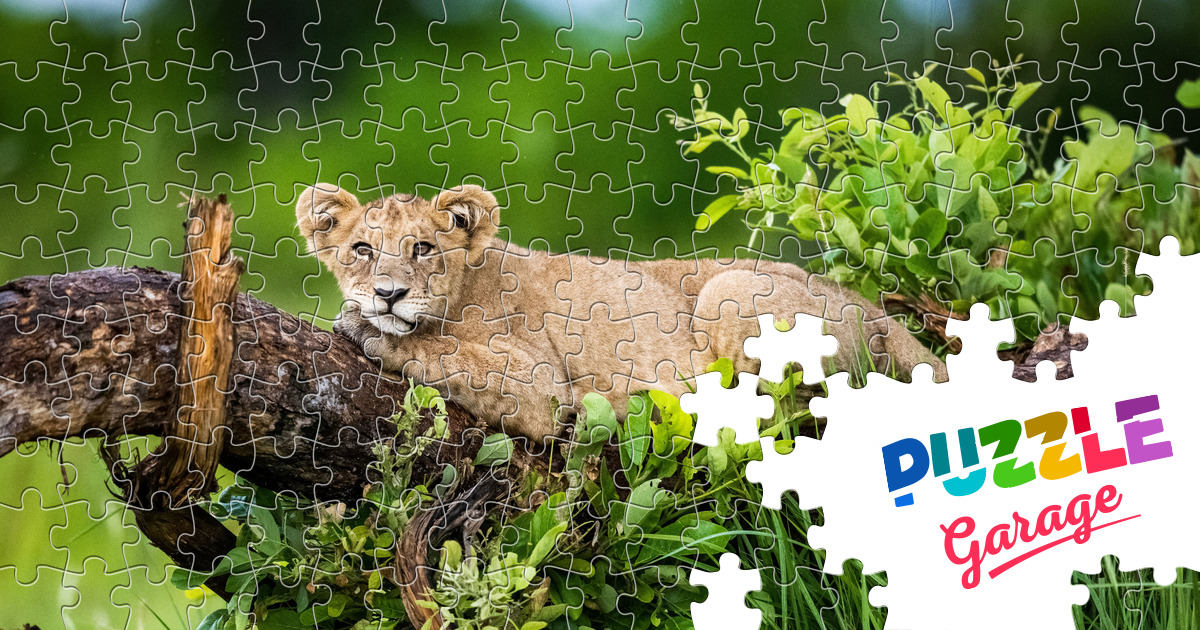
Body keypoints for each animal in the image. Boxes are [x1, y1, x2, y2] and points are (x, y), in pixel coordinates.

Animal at [296, 183, 946, 442]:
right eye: (362, 250)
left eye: (424, 249)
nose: (388, 294)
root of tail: (875, 310)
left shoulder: (538, 383)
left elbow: (443, 352)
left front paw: (365, 329)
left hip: (729, 288)